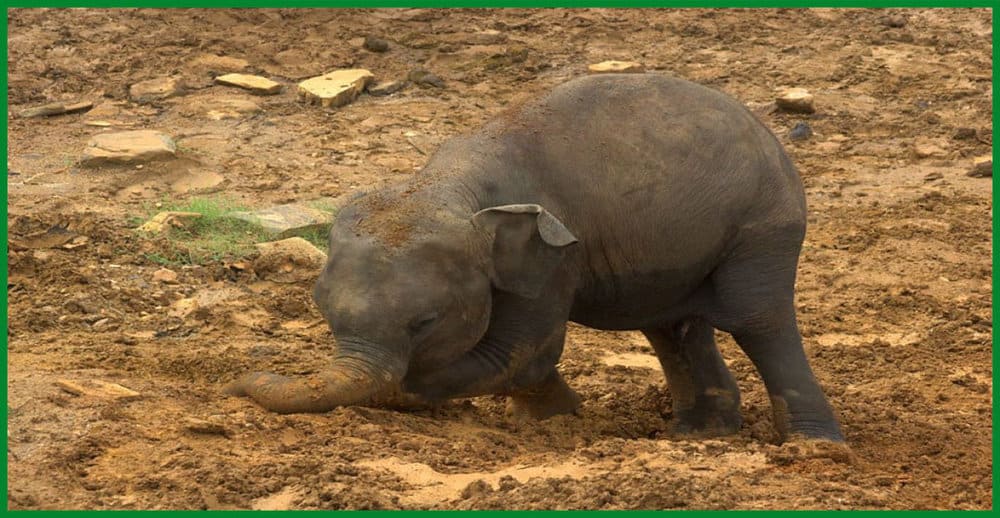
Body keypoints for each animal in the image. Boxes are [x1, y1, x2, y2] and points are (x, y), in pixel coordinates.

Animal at [226, 73, 844, 444]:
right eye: (324, 312)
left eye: (424, 321)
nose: (233, 384)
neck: (450, 181)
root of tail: (766, 131)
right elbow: (521, 358)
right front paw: (556, 419)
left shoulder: (554, 256)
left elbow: (521, 353)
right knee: (672, 326)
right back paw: (698, 435)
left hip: (764, 226)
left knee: (757, 319)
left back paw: (811, 444)